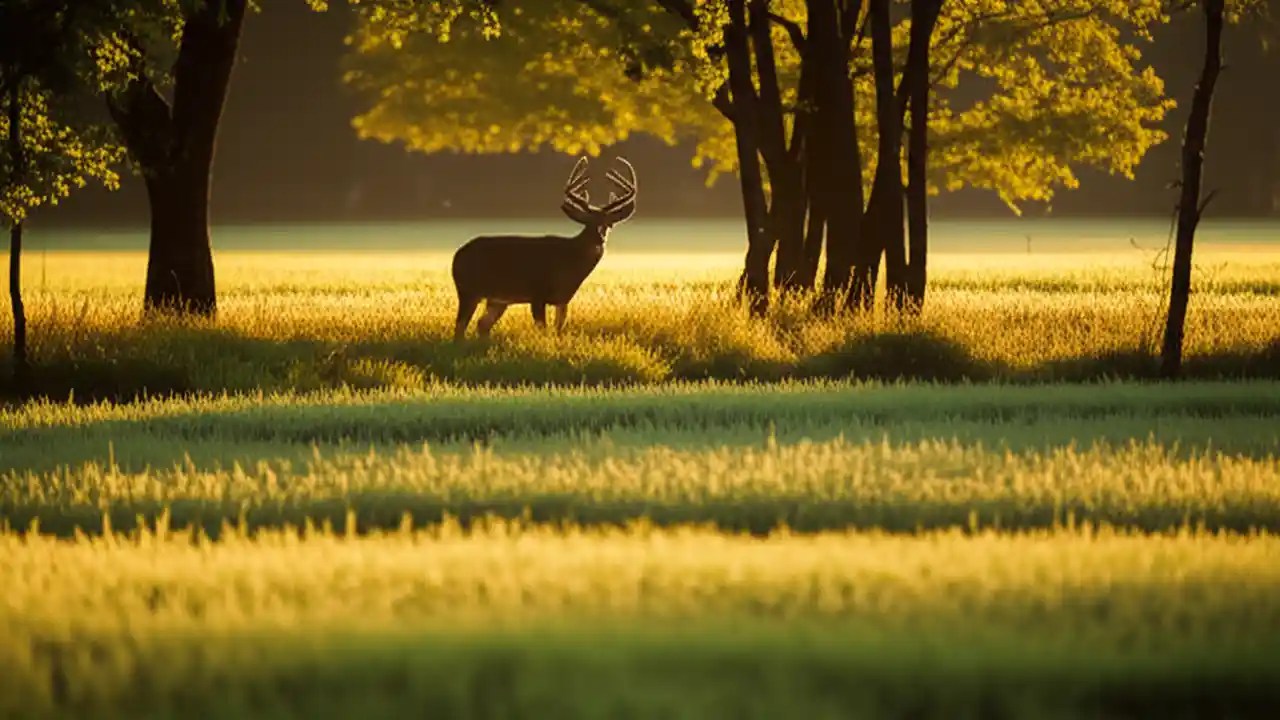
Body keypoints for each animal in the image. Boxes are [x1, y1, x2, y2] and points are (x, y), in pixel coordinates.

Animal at [451, 156, 638, 341]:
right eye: (587, 223)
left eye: (608, 225)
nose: (600, 238)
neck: (569, 265)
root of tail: (457, 256)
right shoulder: (537, 293)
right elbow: (543, 330)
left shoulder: (563, 299)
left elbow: (558, 329)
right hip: (467, 289)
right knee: (460, 326)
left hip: (497, 300)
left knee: (482, 324)